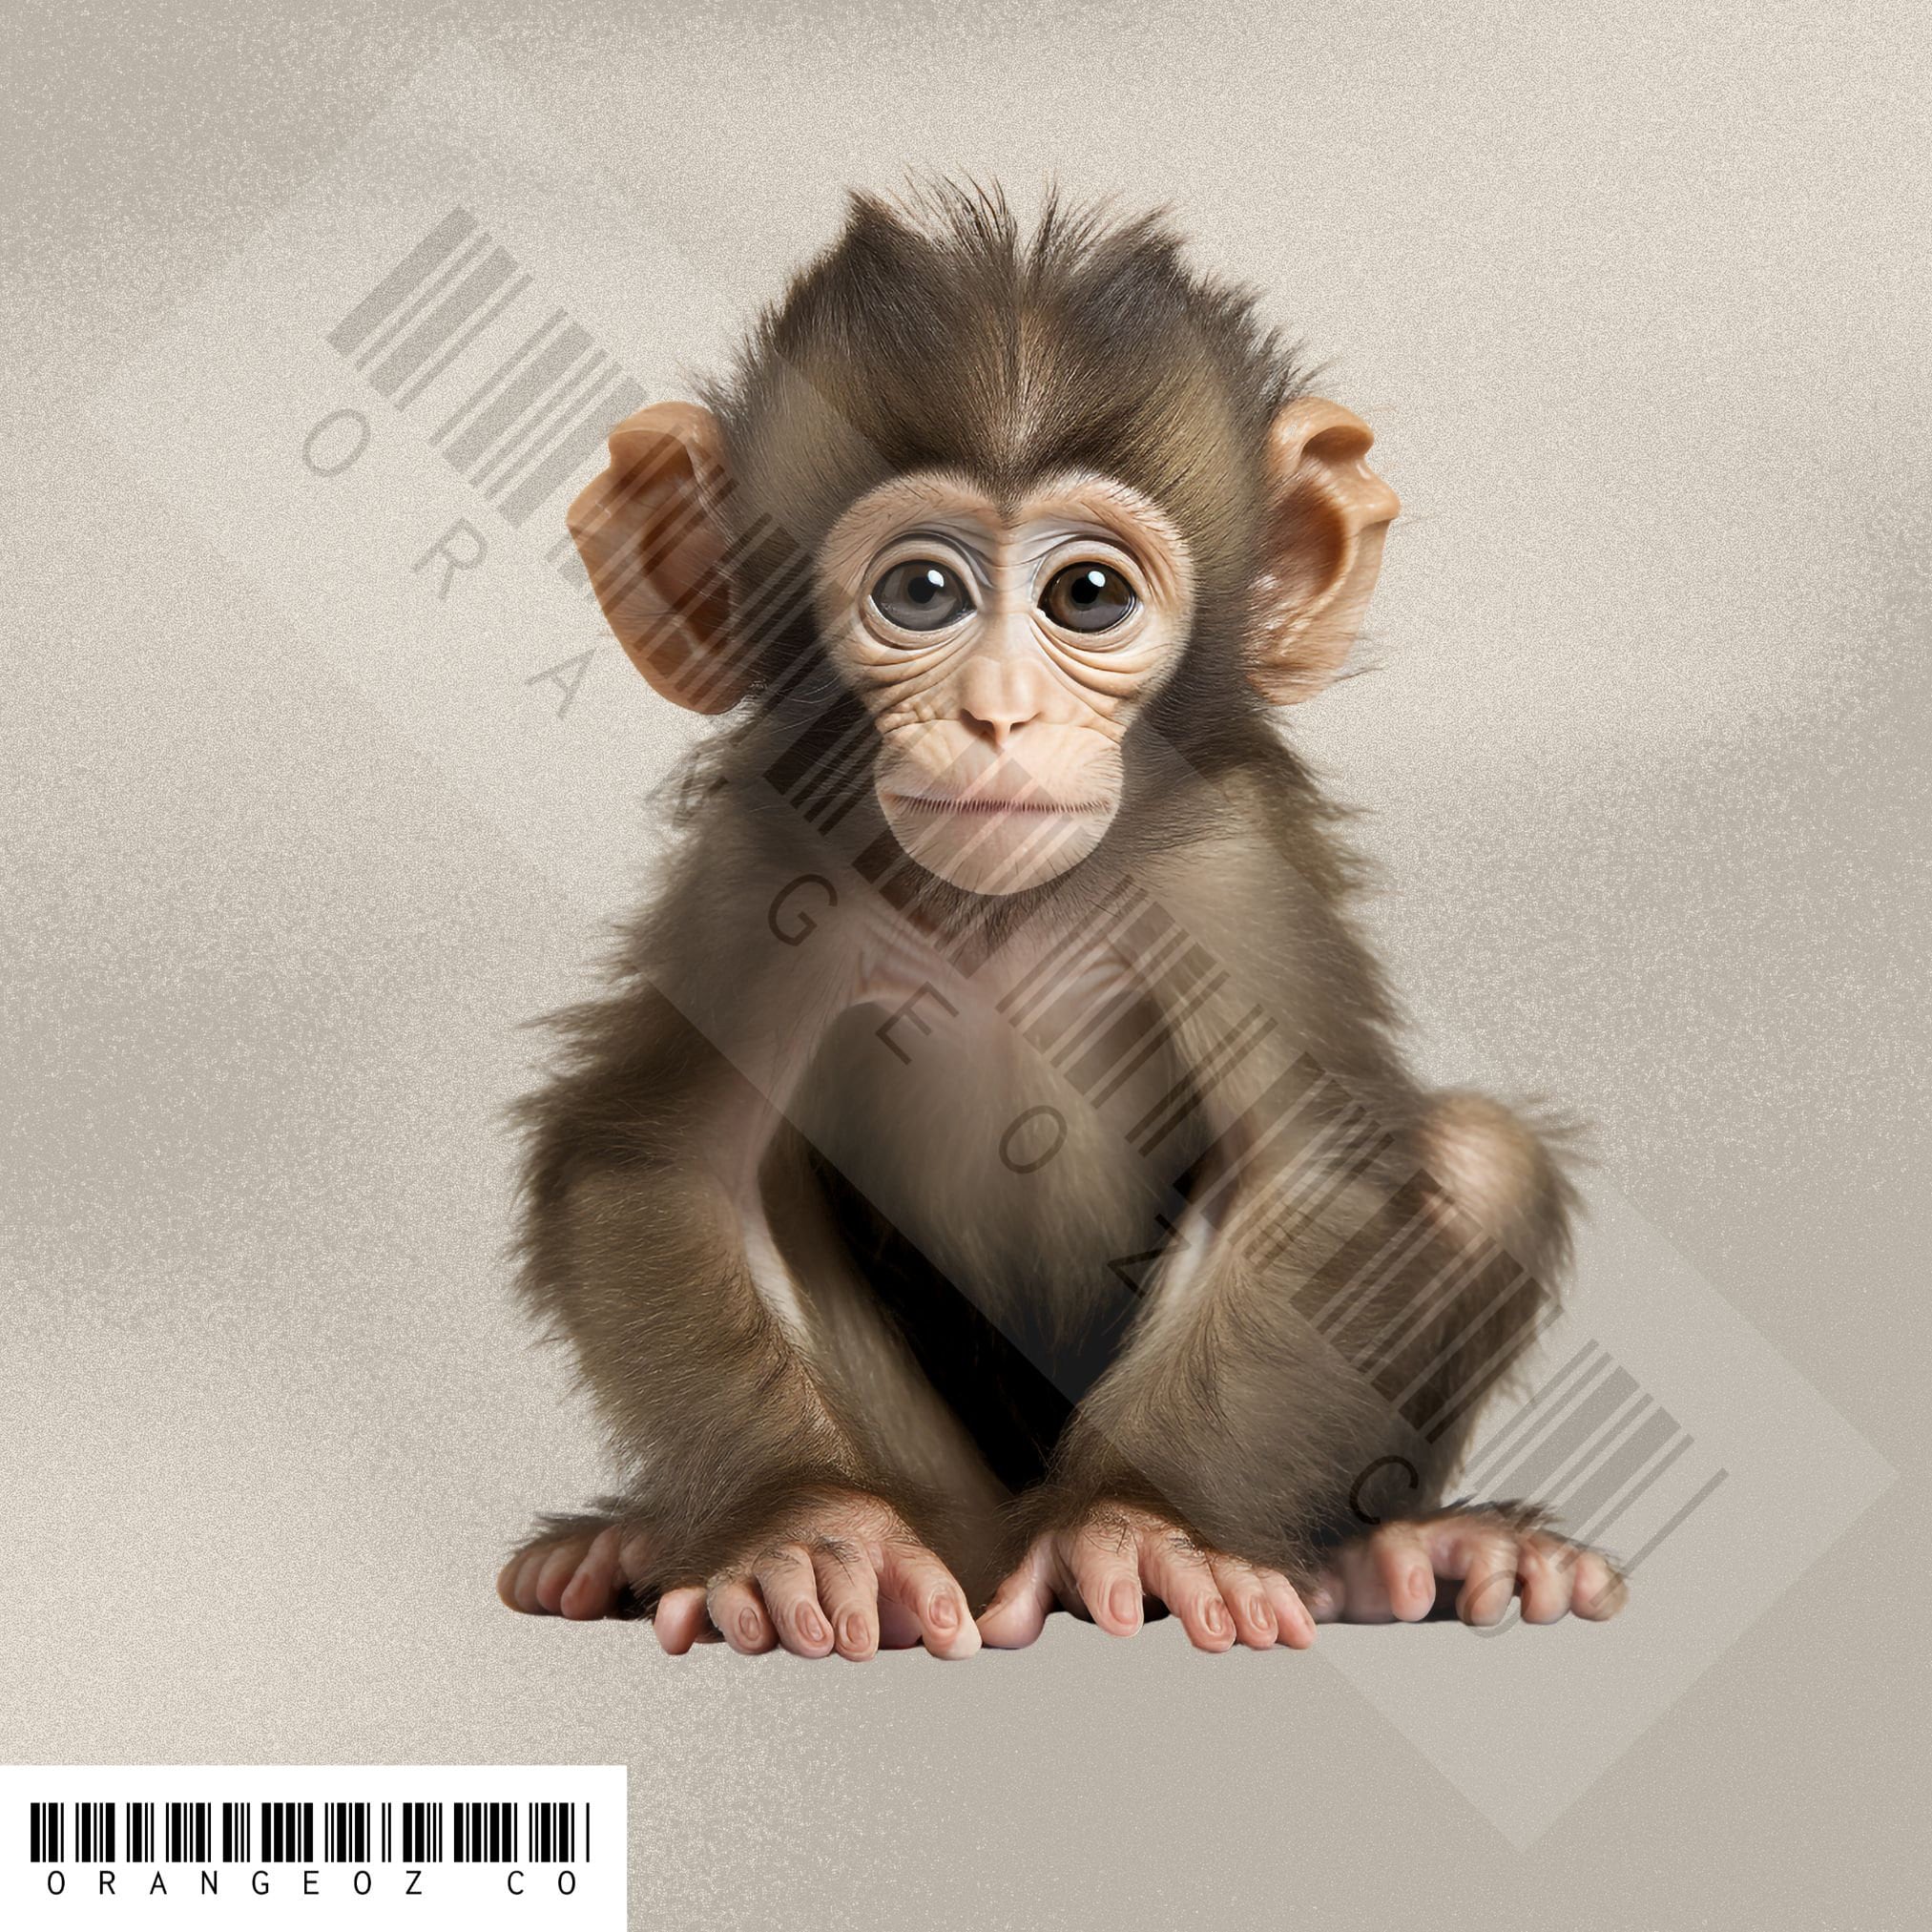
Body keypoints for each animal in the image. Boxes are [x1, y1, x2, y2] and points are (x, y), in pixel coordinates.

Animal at [496, 184, 1627, 1658]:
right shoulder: (759, 869)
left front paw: (1142, 1525)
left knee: (1483, 1159)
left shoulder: (1230, 865)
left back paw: (1405, 1549)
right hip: (946, 1491)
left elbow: (1313, 1165)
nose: (1000, 715)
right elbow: (659, 1160)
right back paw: (635, 1541)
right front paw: (808, 1529)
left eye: (1088, 597)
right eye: (920, 593)